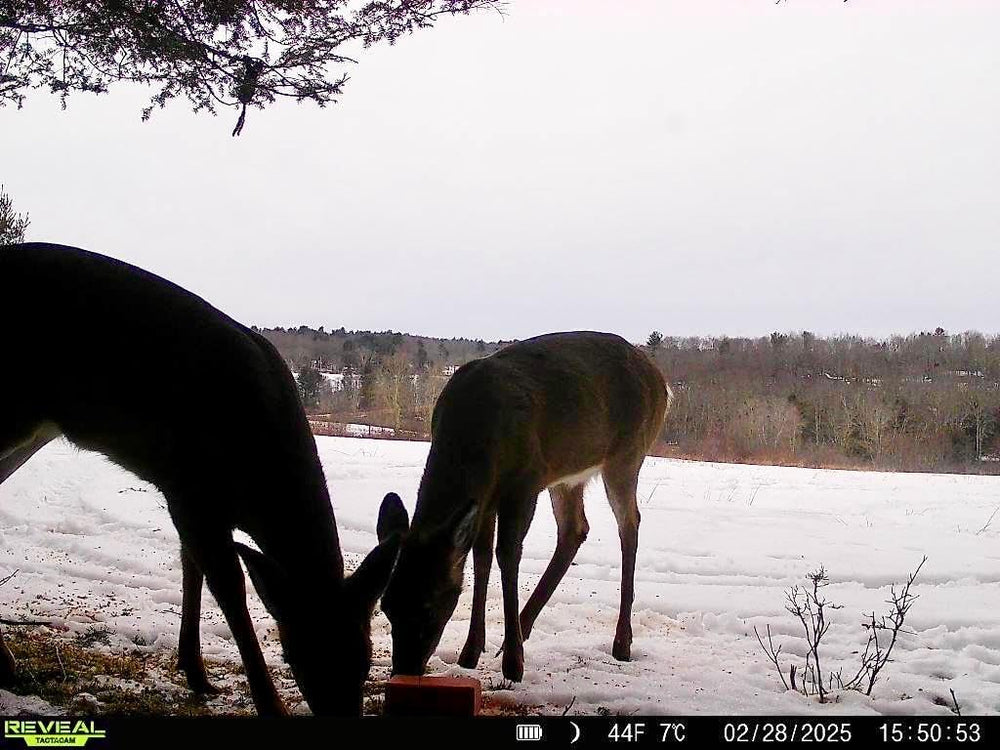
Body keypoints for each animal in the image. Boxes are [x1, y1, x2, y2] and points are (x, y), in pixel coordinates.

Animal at [0, 242, 410, 716]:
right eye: (296, 658)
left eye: (367, 661)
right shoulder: (189, 486)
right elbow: (227, 586)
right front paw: (268, 704)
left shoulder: (195, 499)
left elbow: (189, 566)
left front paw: (194, 670)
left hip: (32, 429)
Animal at [380, 331, 672, 682]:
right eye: (386, 605)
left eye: (431, 606)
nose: (404, 670)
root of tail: (660, 381)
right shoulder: (488, 496)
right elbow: (481, 557)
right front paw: (471, 651)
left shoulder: (525, 481)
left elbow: (507, 555)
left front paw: (514, 664)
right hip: (567, 475)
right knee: (575, 528)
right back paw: (523, 627)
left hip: (627, 454)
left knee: (629, 524)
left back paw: (621, 643)